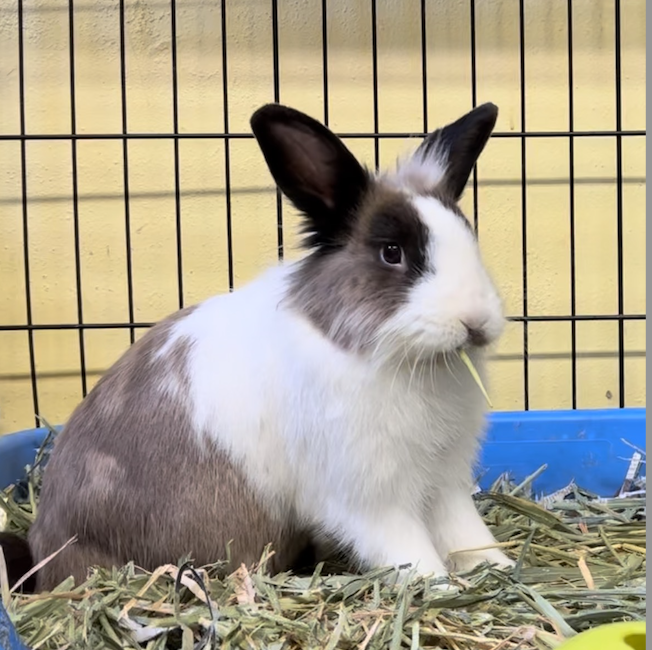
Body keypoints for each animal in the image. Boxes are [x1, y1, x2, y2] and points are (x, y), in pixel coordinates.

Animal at [4, 101, 515, 593]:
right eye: (392, 252)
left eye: (469, 236)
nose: (475, 321)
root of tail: (45, 552)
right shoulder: (370, 495)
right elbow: (406, 546)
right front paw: (440, 586)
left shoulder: (446, 480)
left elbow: (466, 532)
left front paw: (501, 569)